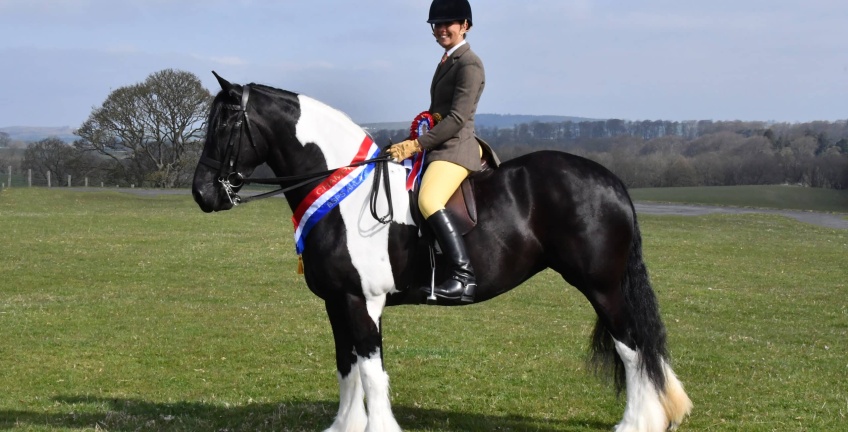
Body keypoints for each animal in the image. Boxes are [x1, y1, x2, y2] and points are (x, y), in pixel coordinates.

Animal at [191, 73, 692, 432]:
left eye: (224, 125)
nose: (201, 194)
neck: (342, 190)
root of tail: (611, 180)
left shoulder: (362, 301)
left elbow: (371, 372)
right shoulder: (338, 301)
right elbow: (347, 368)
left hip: (601, 286)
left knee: (632, 348)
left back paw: (636, 424)